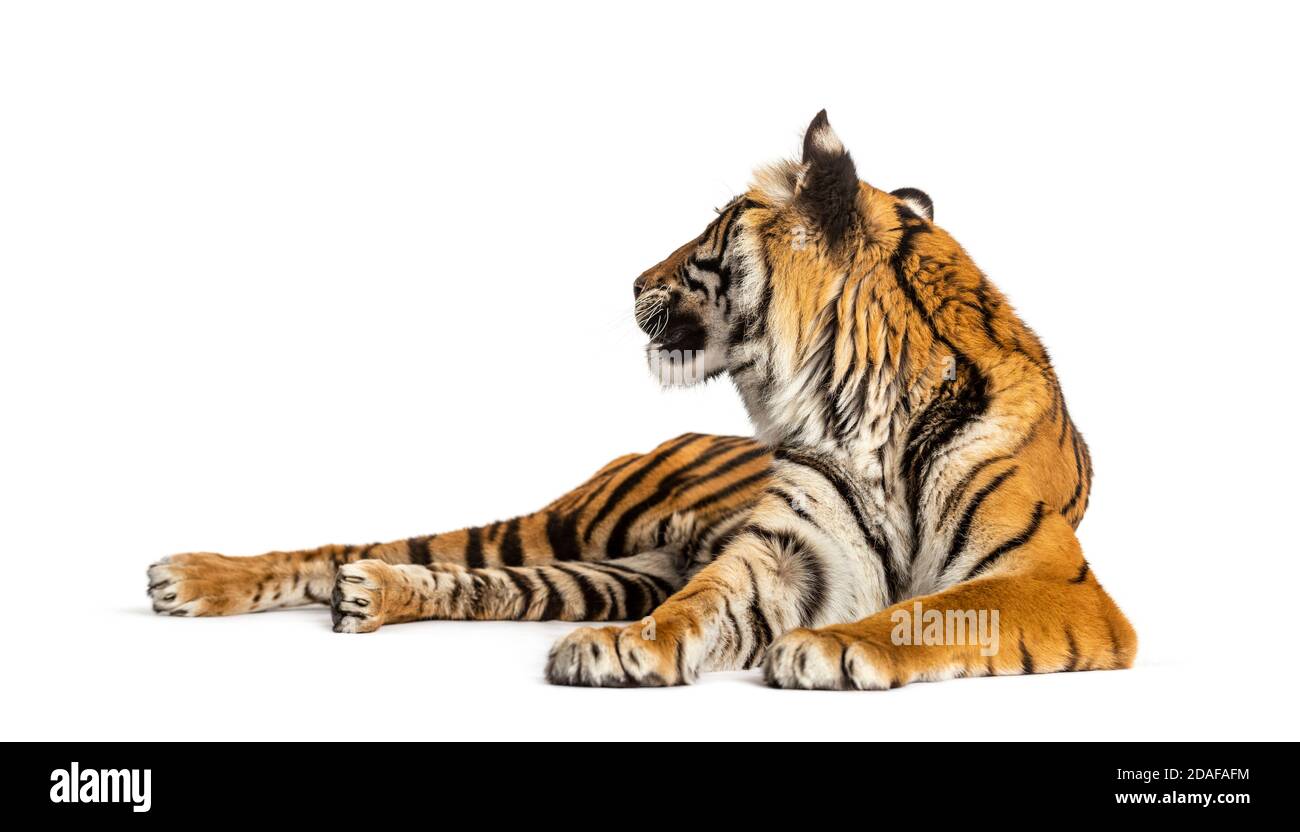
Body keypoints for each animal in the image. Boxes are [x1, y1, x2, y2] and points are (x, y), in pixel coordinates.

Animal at [148, 110, 1136, 689]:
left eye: (711, 232)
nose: (631, 281)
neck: (847, 408)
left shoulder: (1055, 581)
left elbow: (933, 608)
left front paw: (830, 647)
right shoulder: (788, 552)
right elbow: (701, 604)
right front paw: (631, 648)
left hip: (611, 567)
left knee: (474, 583)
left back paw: (370, 597)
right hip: (578, 524)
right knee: (354, 547)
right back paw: (192, 577)